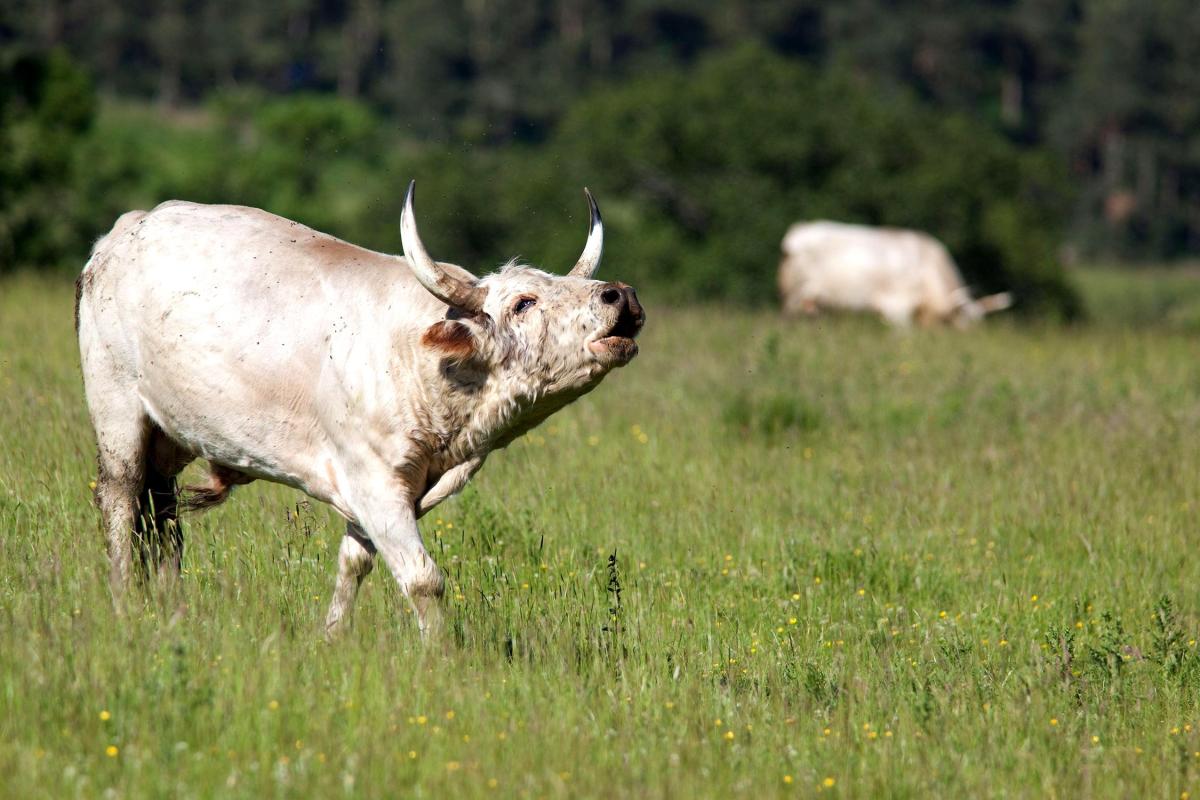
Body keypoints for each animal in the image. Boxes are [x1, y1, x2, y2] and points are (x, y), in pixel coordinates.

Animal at [76, 182, 644, 636]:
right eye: (524, 302)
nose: (621, 295)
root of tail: (125, 231)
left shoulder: (392, 492)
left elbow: (353, 563)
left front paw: (332, 638)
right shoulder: (374, 482)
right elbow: (423, 579)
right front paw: (442, 660)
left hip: (170, 436)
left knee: (163, 518)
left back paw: (170, 606)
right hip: (117, 409)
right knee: (121, 500)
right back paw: (124, 605)